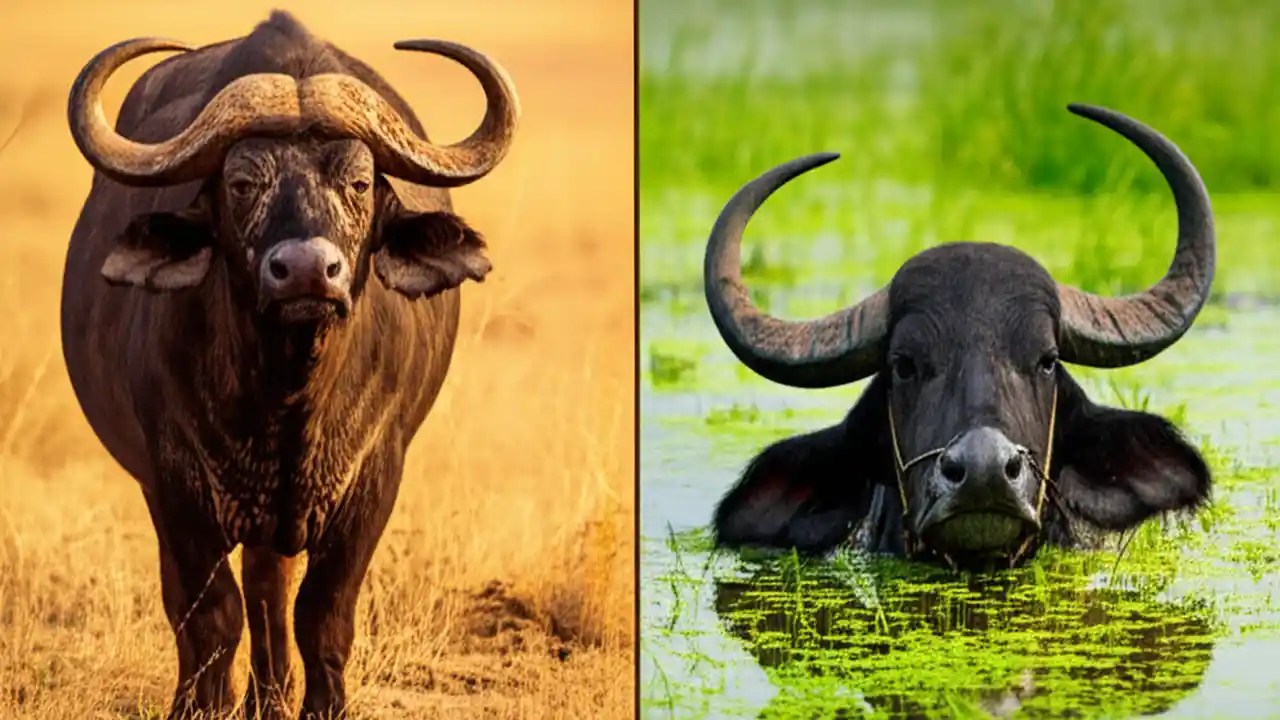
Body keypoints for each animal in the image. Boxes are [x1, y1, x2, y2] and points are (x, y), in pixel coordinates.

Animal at [60, 12, 517, 719]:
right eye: (242, 184)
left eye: (358, 183)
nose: (305, 270)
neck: (289, 395)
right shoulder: (172, 479)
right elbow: (209, 614)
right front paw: (202, 705)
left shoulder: (374, 477)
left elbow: (322, 612)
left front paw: (322, 706)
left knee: (270, 591)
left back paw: (269, 699)